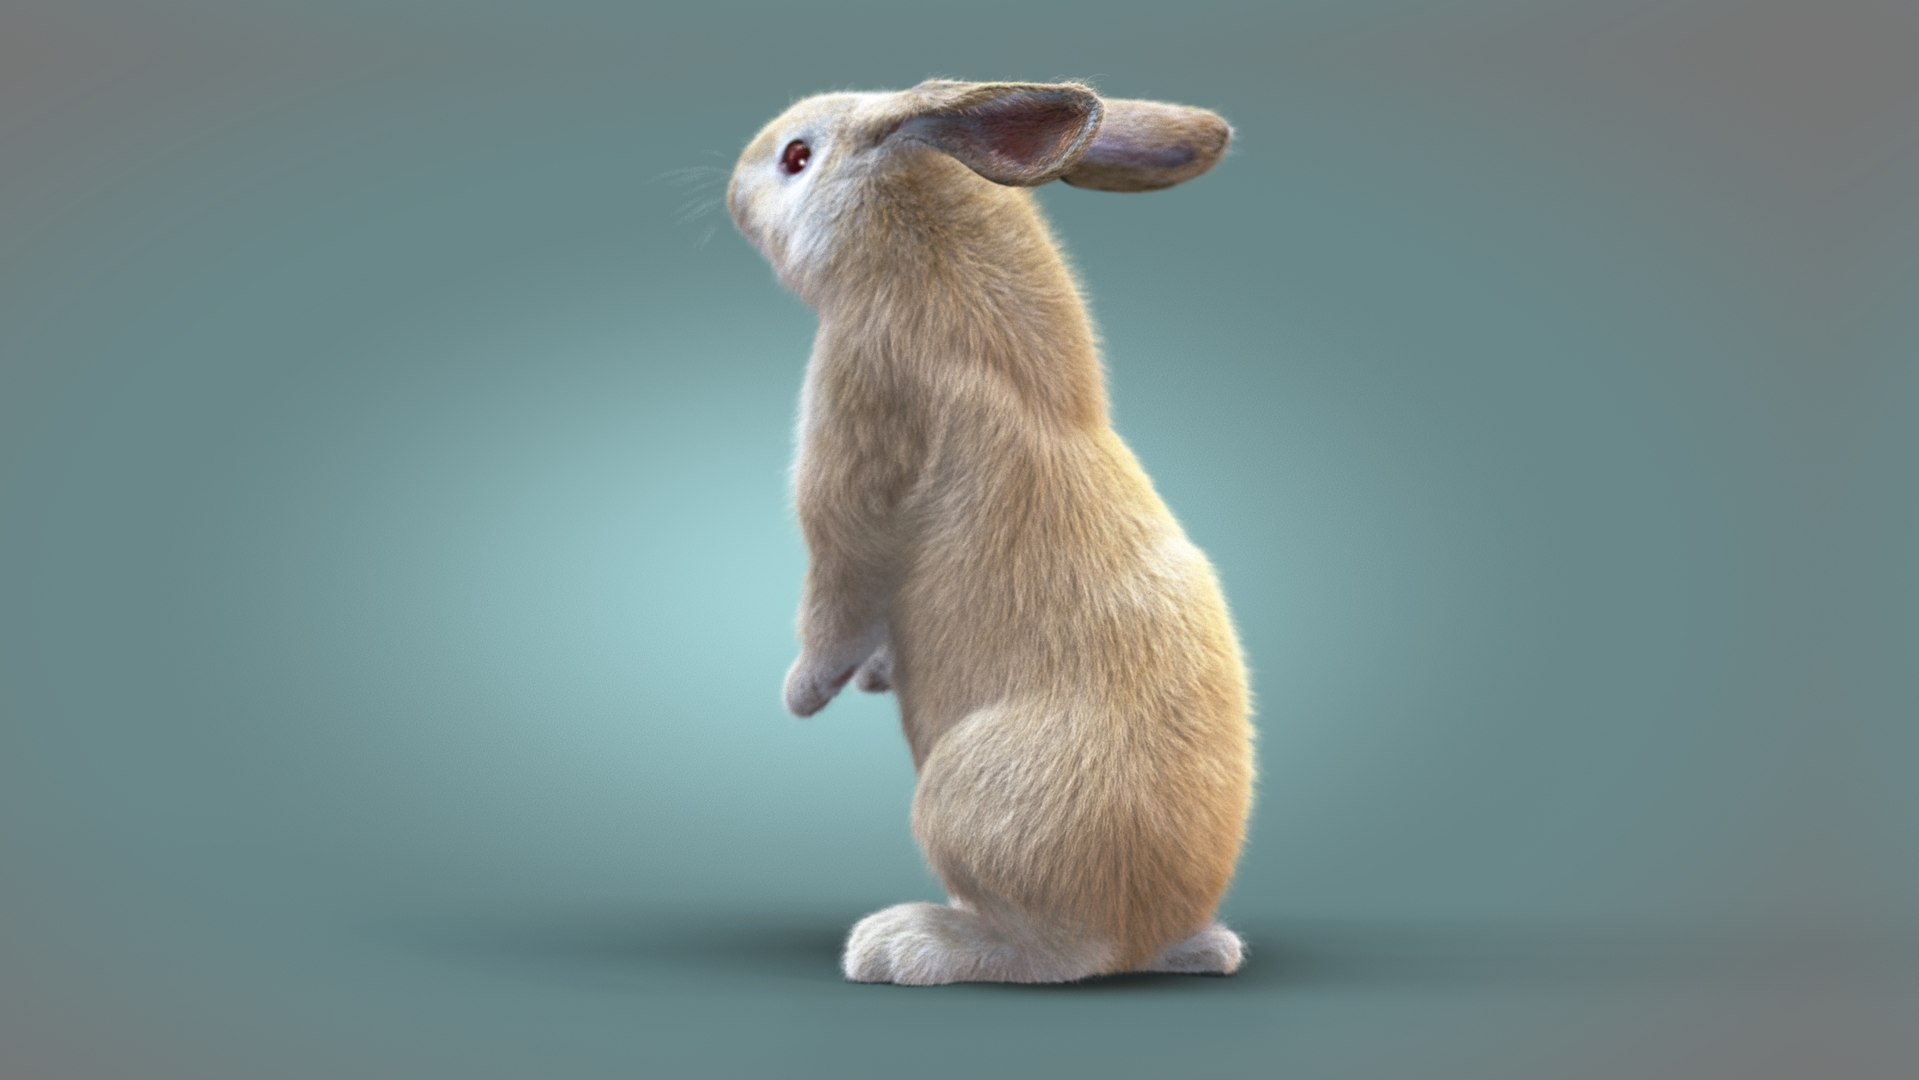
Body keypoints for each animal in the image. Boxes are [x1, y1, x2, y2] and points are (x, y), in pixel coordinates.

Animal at [728, 79, 1254, 985]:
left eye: (797, 157)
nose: (732, 188)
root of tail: (1138, 934)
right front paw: (871, 678)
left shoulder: (851, 430)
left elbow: (837, 590)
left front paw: (804, 694)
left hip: (961, 799)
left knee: (1051, 955)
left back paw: (900, 944)